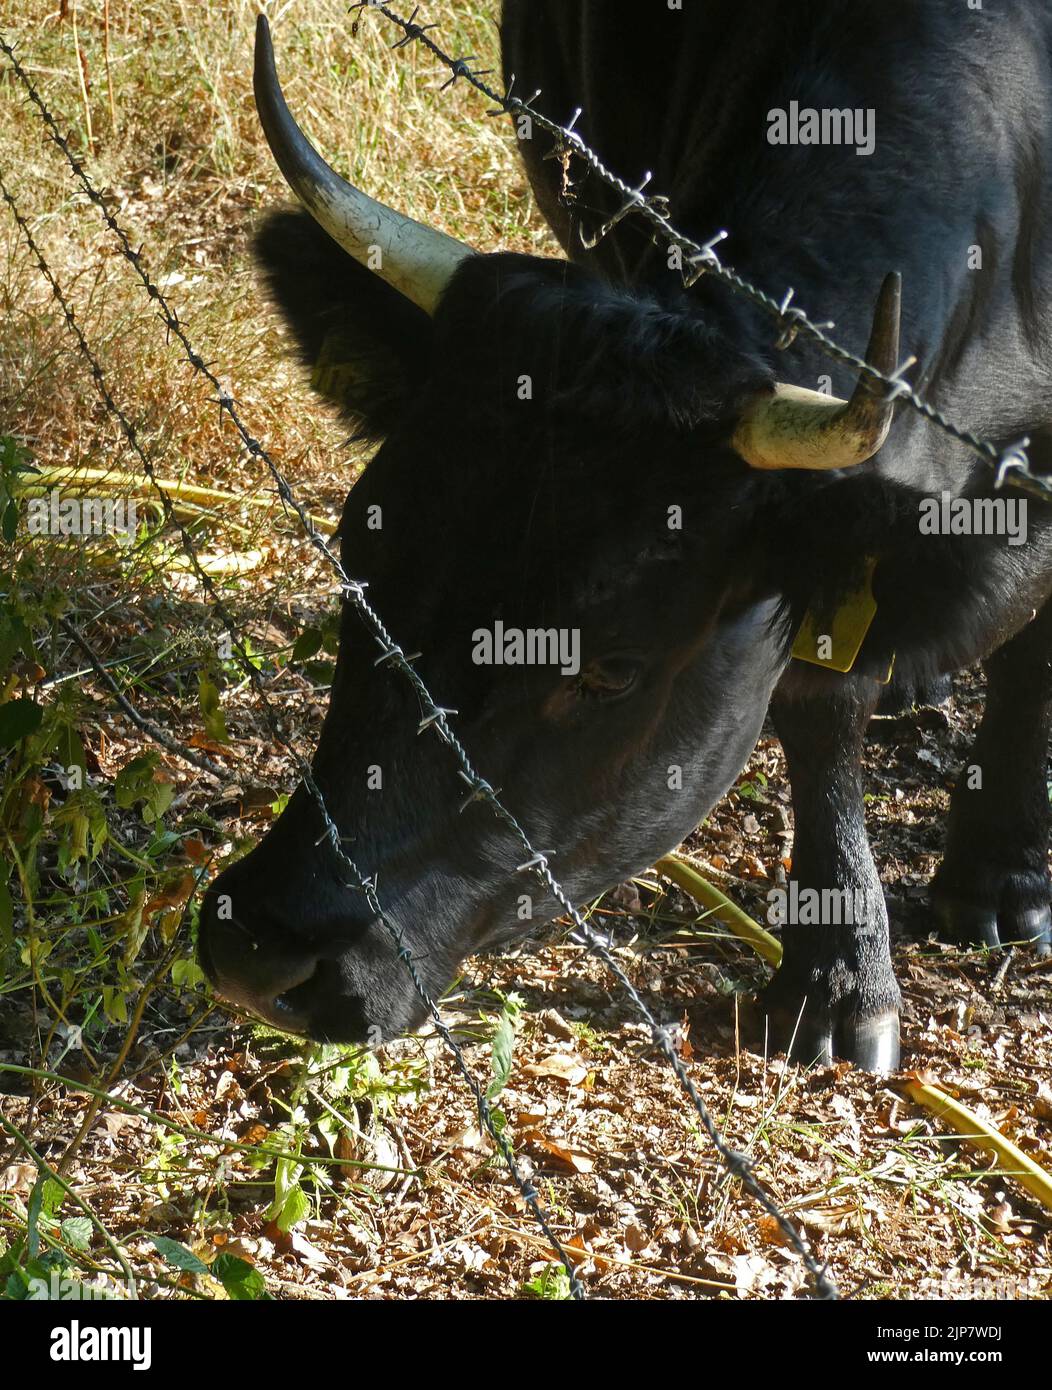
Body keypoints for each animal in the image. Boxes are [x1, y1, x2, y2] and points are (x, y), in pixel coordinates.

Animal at [199, 3, 1052, 1070]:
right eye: (359, 573)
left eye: (610, 669)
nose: (262, 947)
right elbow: (819, 697)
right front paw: (840, 973)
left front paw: (1001, 878)